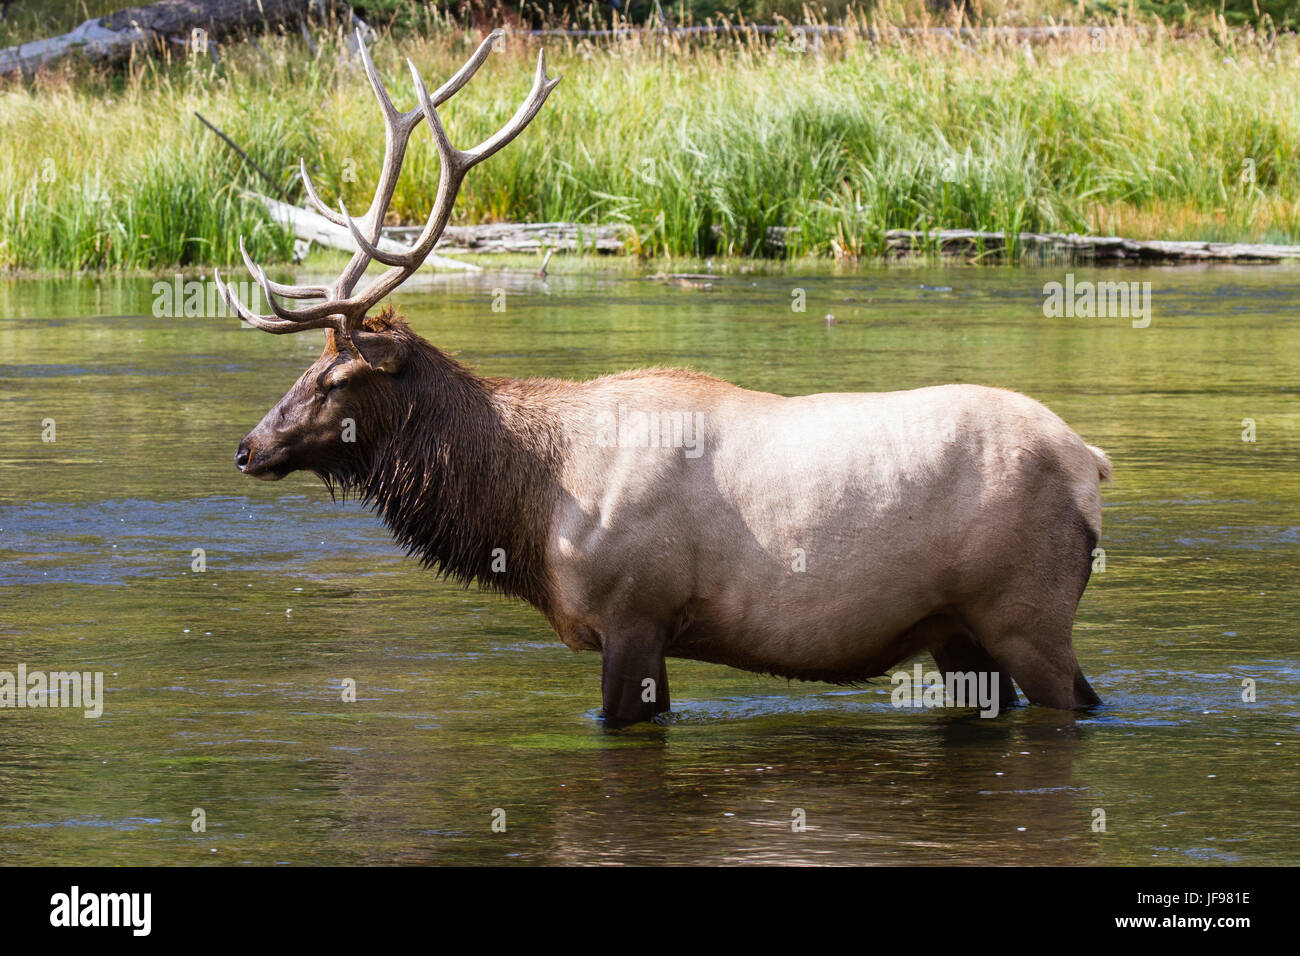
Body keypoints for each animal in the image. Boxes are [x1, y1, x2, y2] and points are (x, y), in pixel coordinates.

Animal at [219, 30, 1110, 727]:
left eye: (333, 378)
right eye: (307, 368)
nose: (247, 447)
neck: (529, 510)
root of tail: (1092, 463)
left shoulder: (634, 612)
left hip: (1025, 612)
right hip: (960, 633)